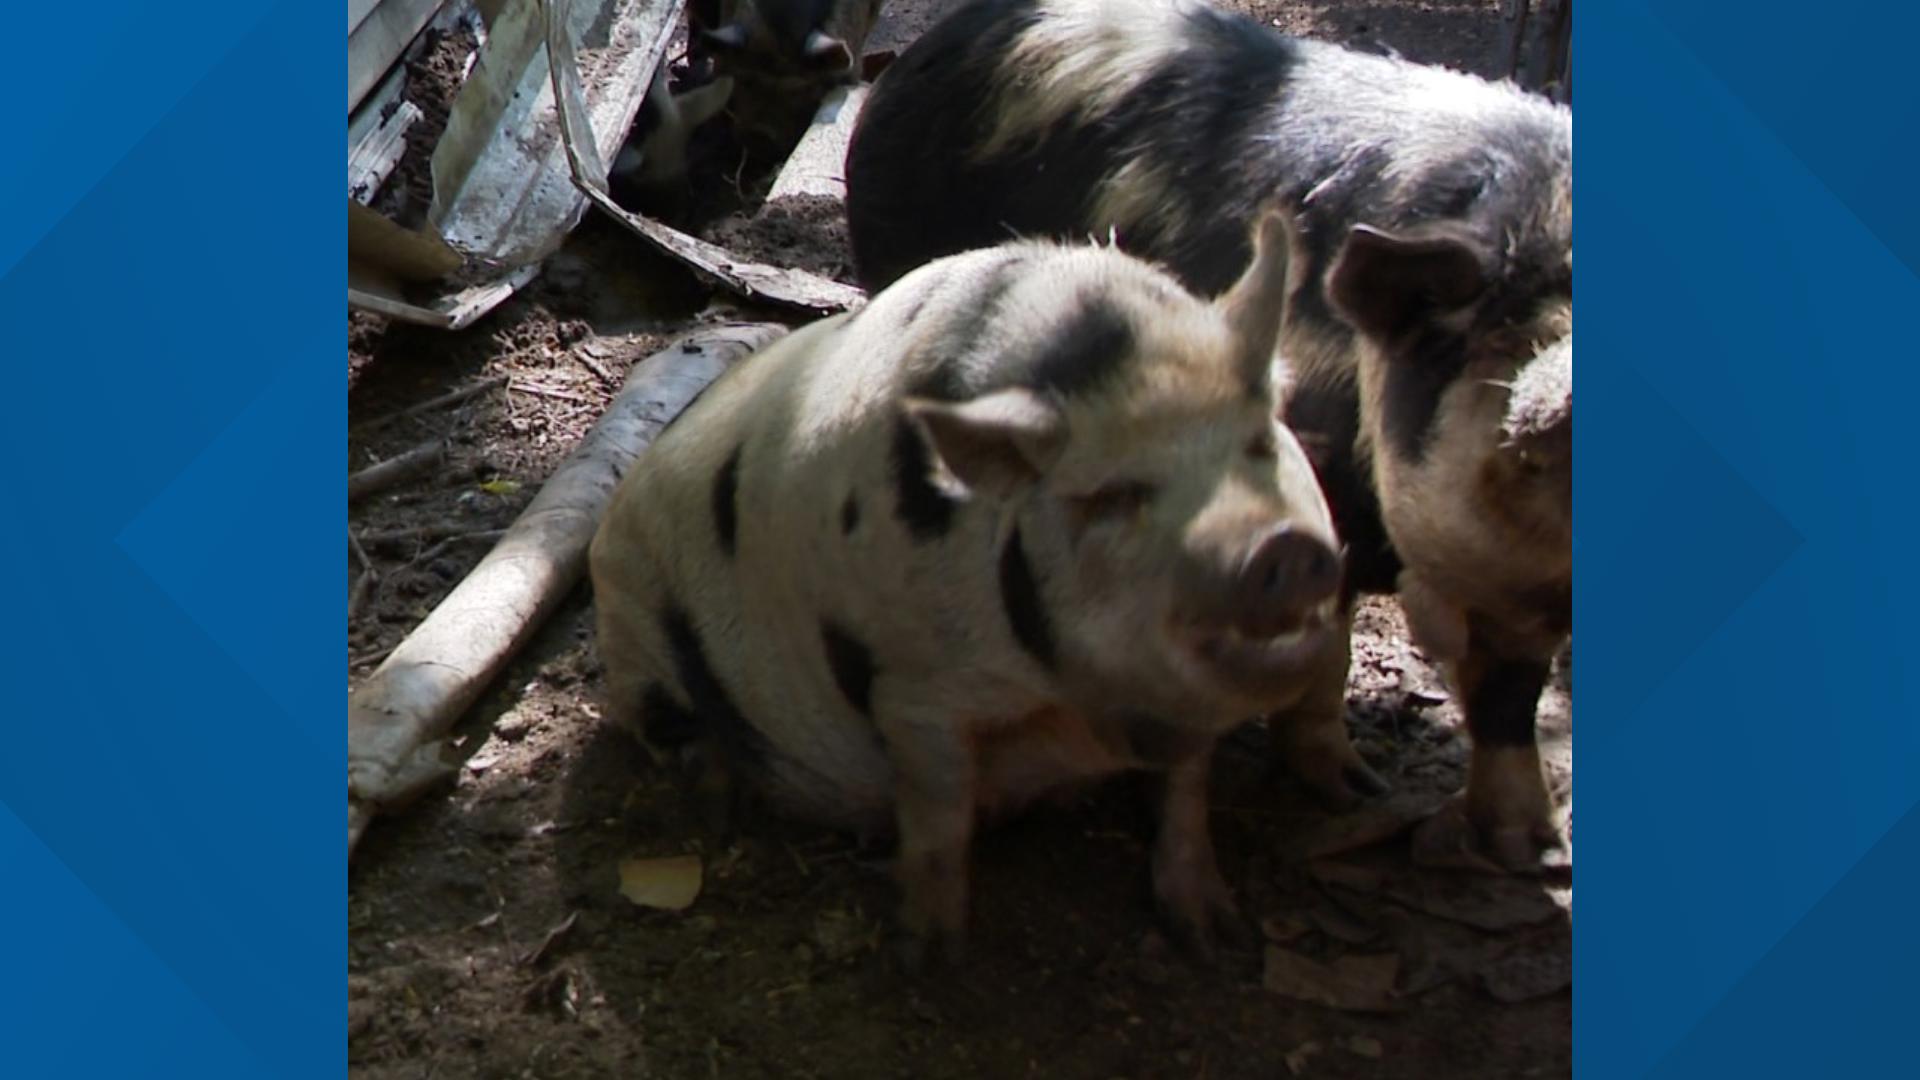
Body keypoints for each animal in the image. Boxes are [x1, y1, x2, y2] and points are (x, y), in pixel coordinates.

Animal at [590, 210, 1346, 962]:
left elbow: (1186, 793)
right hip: (631, 629)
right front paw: (928, 956)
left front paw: (1219, 939)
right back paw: (716, 802)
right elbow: (939, 813)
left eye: (1259, 444)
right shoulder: (911, 691)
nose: (1281, 545)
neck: (1079, 707)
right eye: (1112, 496)